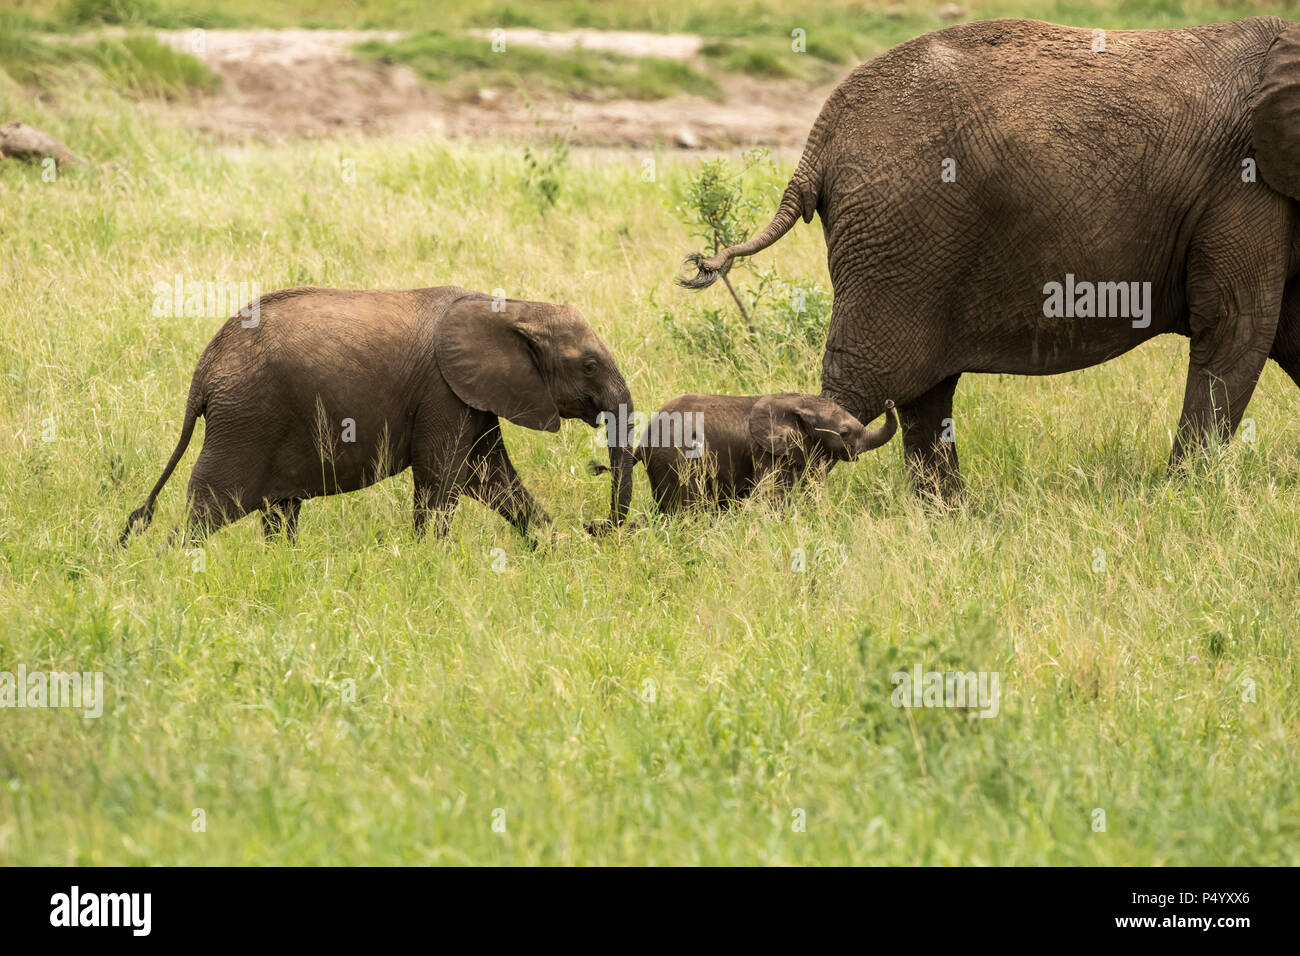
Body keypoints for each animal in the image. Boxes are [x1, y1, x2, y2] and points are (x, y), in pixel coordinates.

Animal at [118, 286, 636, 543]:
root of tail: (204, 369)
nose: (595, 527)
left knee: (279, 512)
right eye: (589, 365)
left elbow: (489, 475)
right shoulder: (443, 392)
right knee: (210, 508)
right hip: (244, 420)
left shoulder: (469, 394)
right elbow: (443, 477)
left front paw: (554, 550)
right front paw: (429, 561)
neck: (513, 308)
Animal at [592, 393, 897, 512]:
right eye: (844, 433)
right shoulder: (765, 451)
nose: (889, 402)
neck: (797, 401)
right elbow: (773, 495)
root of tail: (642, 443)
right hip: (675, 461)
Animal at [681, 17, 1300, 496]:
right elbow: (1238, 329)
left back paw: (948, 519)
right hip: (901, 240)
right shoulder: (1244, 183)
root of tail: (820, 137)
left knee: (922, 395)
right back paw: (772, 519)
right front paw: (1180, 498)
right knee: (862, 389)